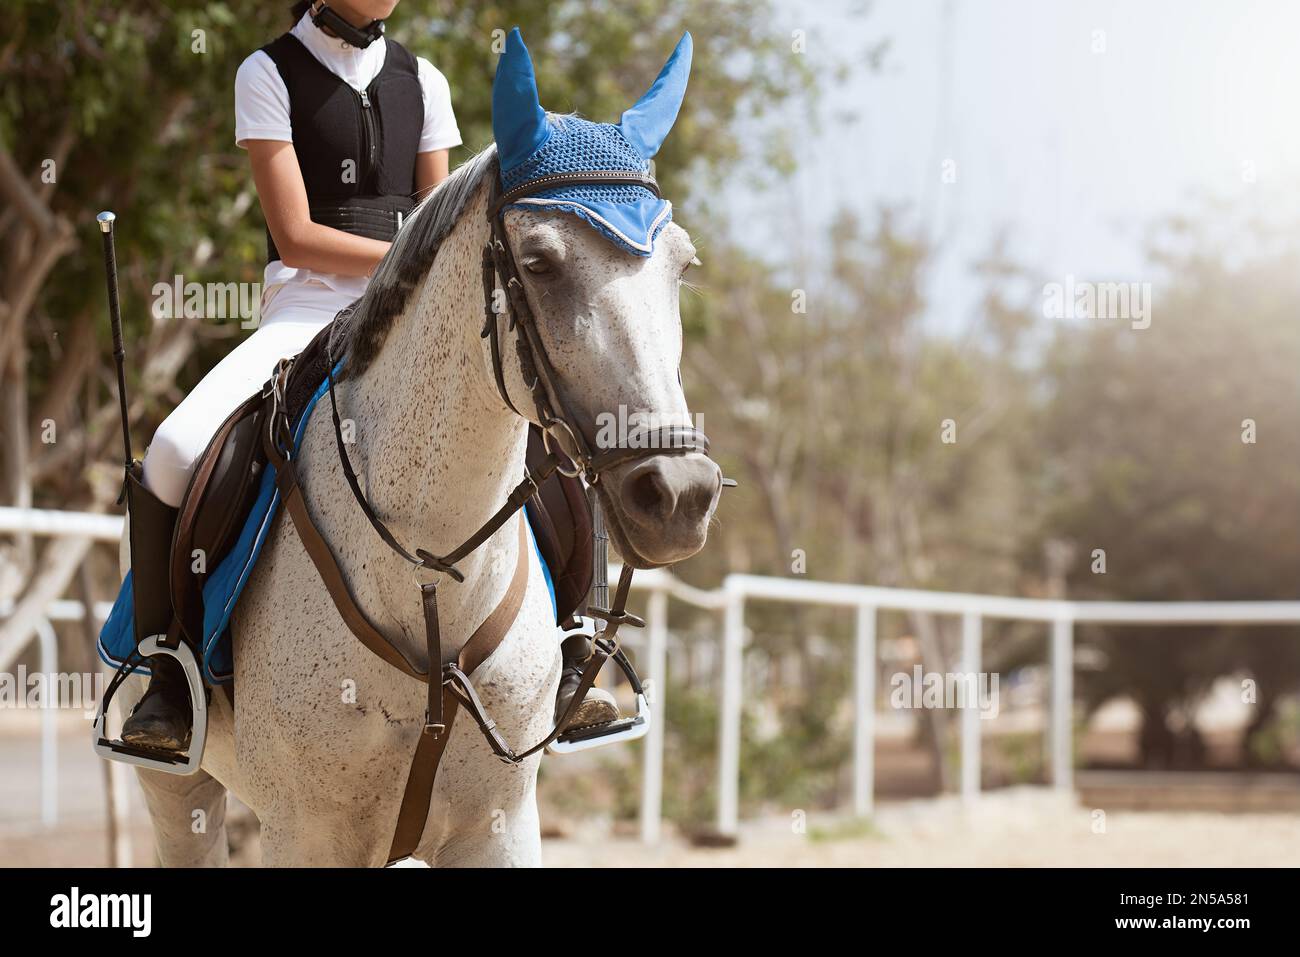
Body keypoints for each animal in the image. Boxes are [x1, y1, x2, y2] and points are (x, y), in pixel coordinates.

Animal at [114, 31, 721, 867]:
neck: (430, 572)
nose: (680, 495)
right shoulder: (304, 833)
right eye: (539, 263)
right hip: (180, 791)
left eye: (682, 267)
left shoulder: (498, 825)